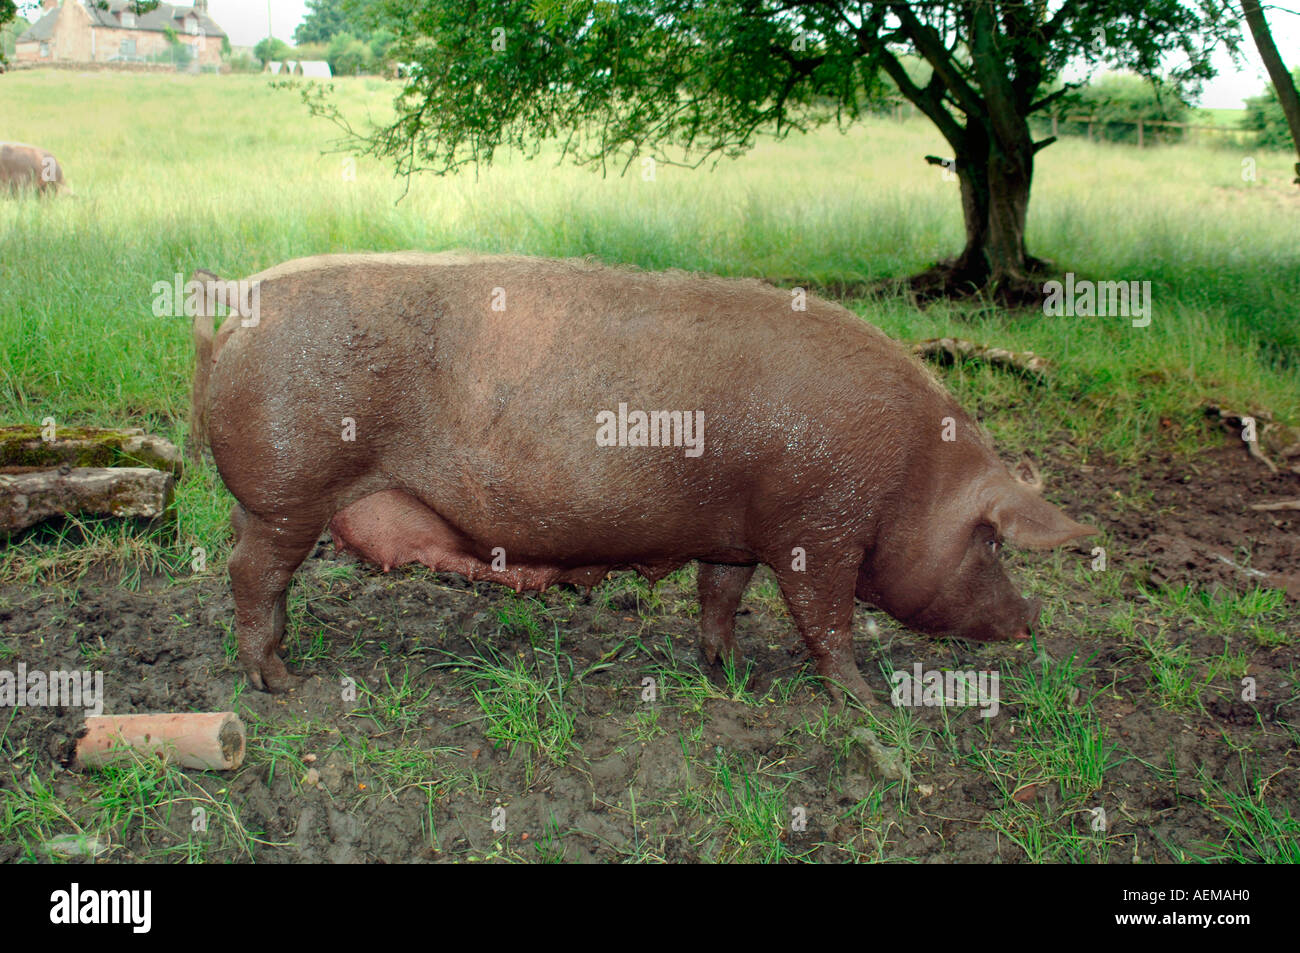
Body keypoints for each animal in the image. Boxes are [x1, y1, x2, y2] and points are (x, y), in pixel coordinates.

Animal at [189, 252, 1095, 704]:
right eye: (993, 543)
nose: (1035, 618)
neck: (913, 475)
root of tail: (238, 297)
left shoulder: (737, 532)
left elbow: (720, 594)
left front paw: (728, 670)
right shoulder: (819, 528)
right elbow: (827, 620)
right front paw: (866, 701)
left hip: (273, 498)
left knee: (253, 568)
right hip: (288, 491)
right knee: (249, 572)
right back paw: (277, 681)